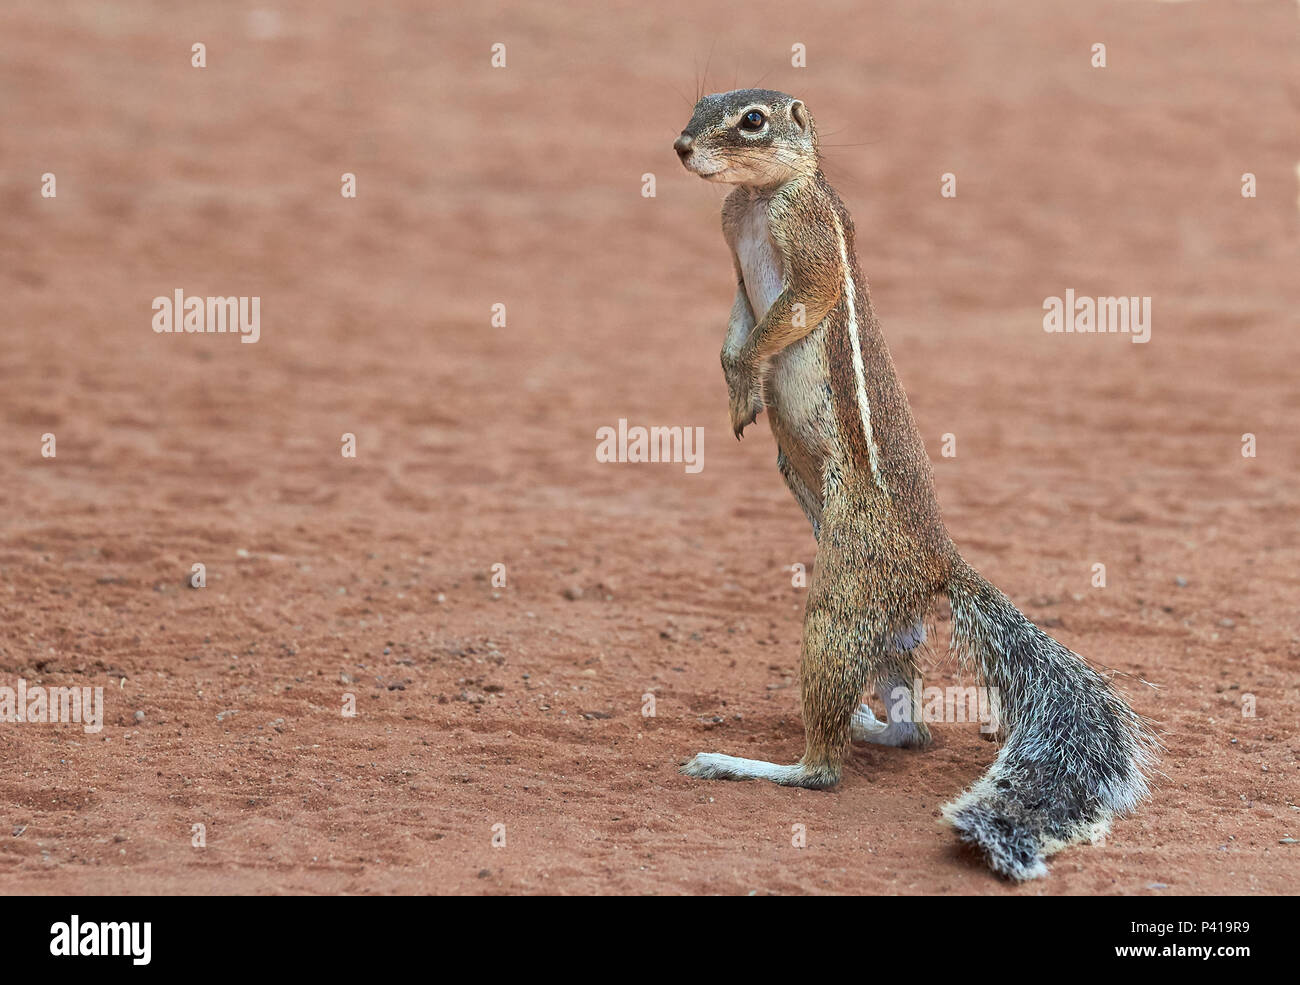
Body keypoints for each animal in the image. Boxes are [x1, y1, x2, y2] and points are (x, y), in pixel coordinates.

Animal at [672, 89, 1157, 880]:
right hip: (889, 620)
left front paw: (745, 379)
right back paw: (873, 724)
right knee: (913, 726)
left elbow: (787, 312)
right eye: (699, 105)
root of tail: (939, 557)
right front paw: (737, 393)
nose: (682, 148)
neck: (755, 199)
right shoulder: (733, 265)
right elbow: (735, 330)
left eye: (753, 120)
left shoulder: (805, 242)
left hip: (842, 596)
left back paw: (749, 761)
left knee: (823, 770)